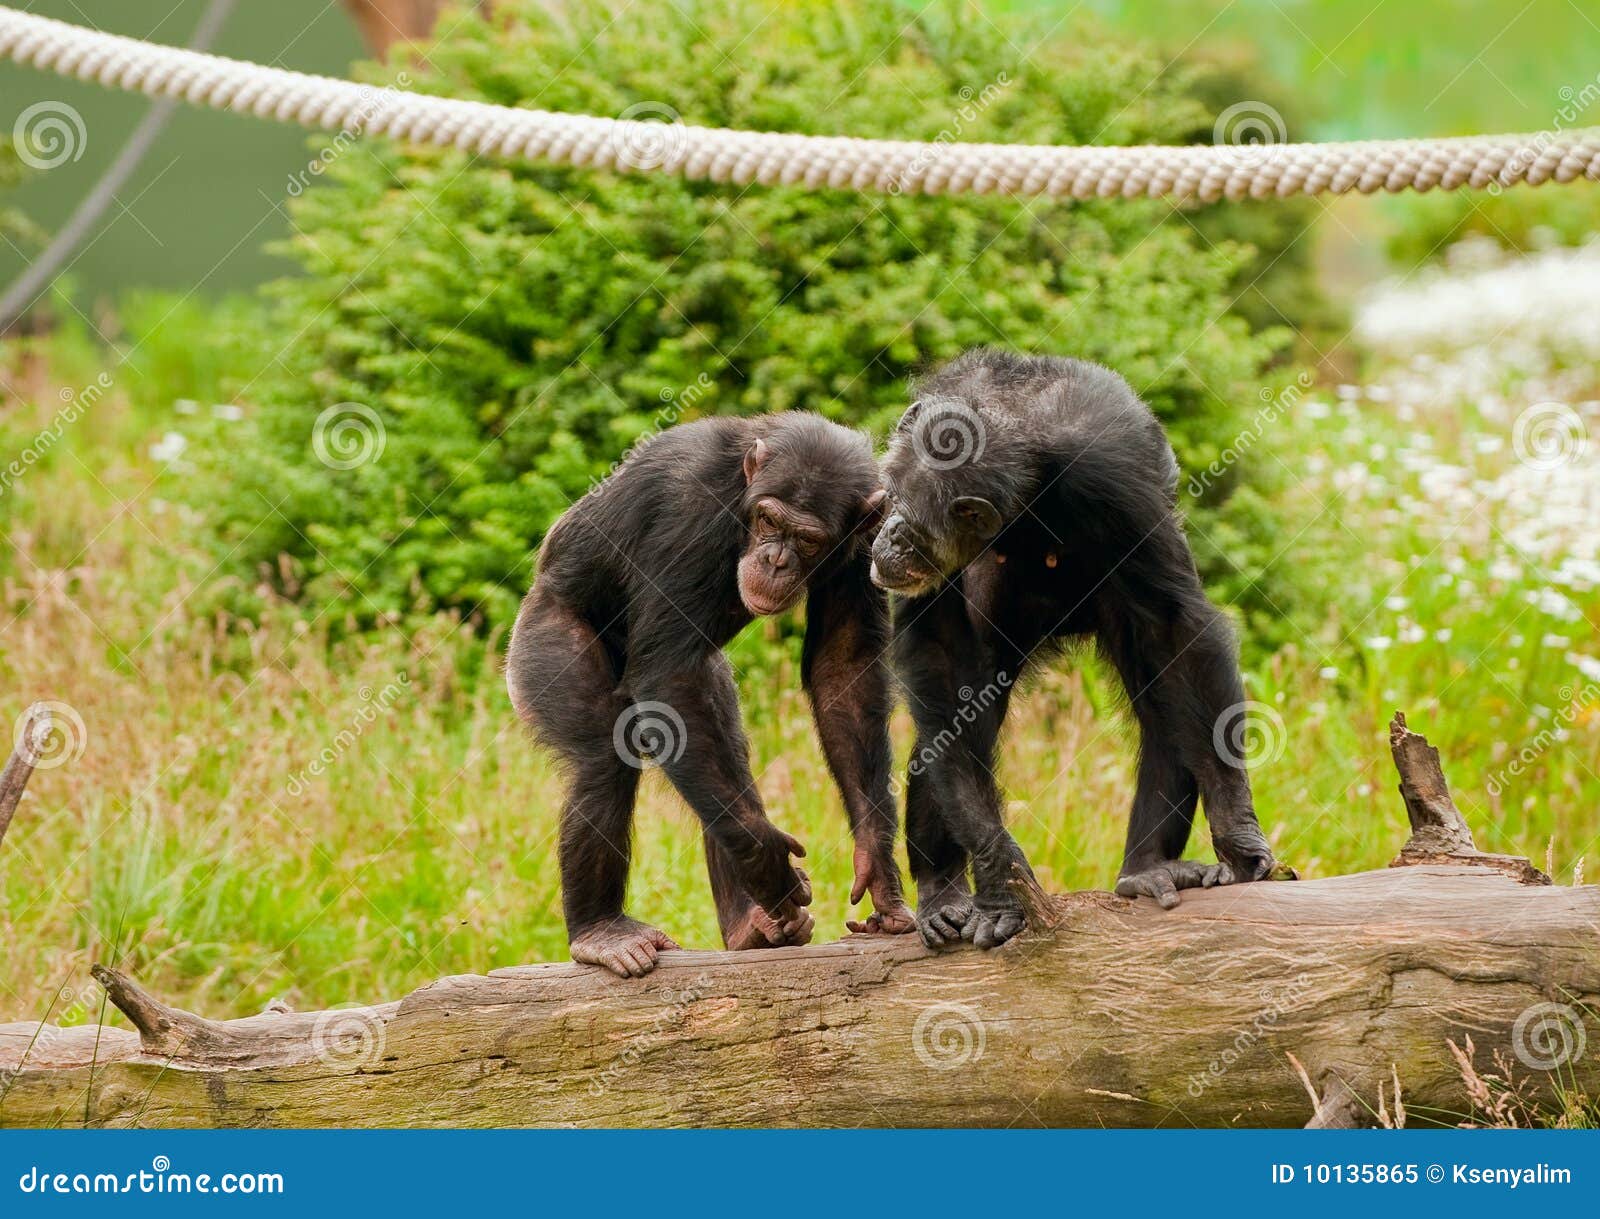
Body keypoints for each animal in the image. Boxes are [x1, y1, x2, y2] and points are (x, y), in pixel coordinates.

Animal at [507, 413, 914, 977]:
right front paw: (768, 864)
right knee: (604, 760)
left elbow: (843, 668)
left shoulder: (872, 532)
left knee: (720, 758)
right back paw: (601, 931)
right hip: (541, 642)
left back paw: (751, 928)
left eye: (808, 539)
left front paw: (877, 865)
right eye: (768, 521)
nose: (775, 559)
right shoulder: (690, 511)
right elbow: (668, 675)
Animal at [868, 349, 1276, 950]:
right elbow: (941, 656)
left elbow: (1175, 625)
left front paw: (1237, 830)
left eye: (915, 529)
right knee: (957, 720)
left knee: (1163, 701)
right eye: (889, 499)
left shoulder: (1116, 484)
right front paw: (1000, 877)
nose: (890, 536)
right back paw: (943, 894)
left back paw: (1148, 868)